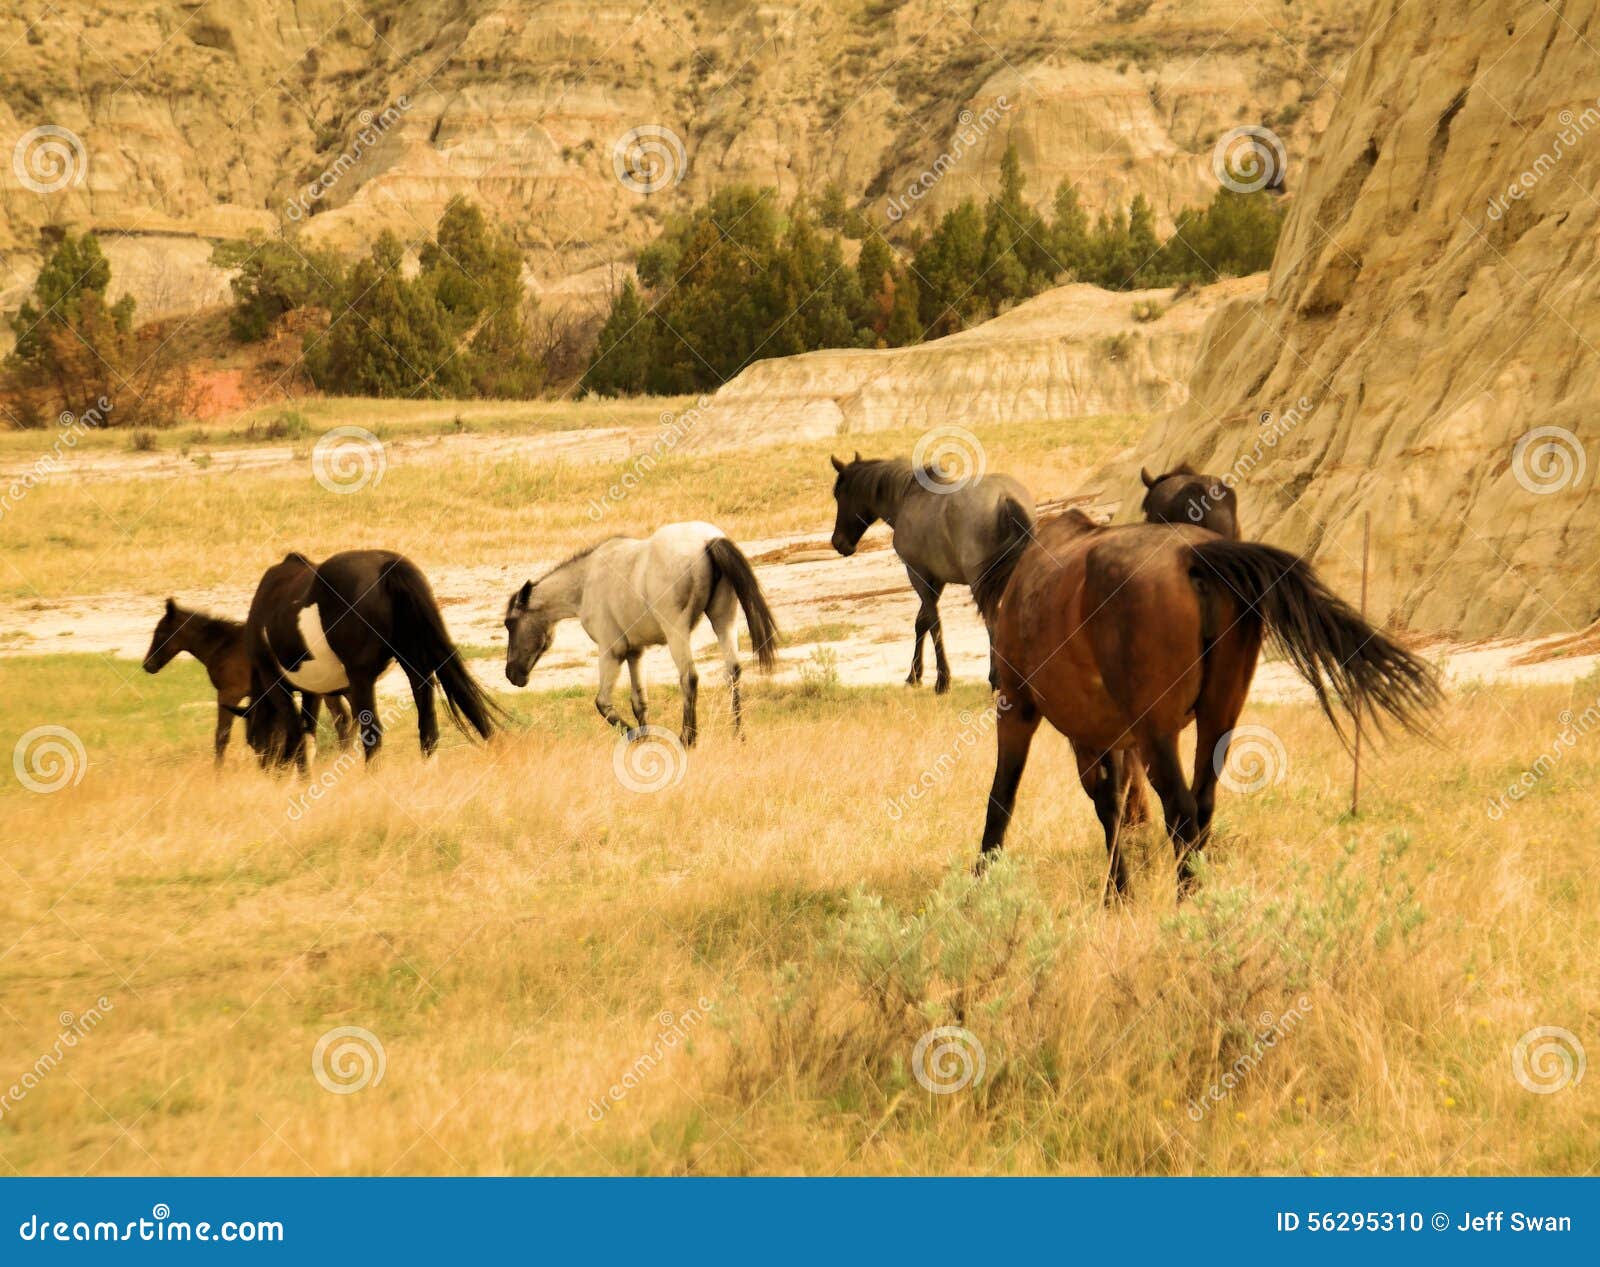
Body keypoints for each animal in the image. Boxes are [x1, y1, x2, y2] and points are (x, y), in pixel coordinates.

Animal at [142, 598, 352, 765]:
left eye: (160, 633)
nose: (148, 665)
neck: (222, 645)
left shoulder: (229, 693)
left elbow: (222, 736)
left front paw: (218, 774)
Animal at [240, 550, 499, 766]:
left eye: (254, 741)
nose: (269, 770)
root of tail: (386, 567)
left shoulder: (275, 683)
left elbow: (298, 735)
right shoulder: (314, 690)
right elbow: (309, 733)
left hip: (361, 678)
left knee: (373, 733)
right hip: (415, 668)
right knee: (432, 723)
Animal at [504, 522, 779, 746]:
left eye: (510, 623)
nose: (511, 673)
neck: (586, 582)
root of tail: (709, 540)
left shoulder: (611, 651)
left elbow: (603, 702)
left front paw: (637, 736)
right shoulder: (635, 652)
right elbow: (639, 702)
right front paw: (646, 737)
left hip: (676, 631)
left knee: (689, 677)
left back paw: (687, 739)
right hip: (724, 619)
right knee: (732, 672)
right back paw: (738, 735)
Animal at [829, 453, 1034, 693]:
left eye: (838, 495)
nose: (838, 543)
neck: (909, 498)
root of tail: (1004, 498)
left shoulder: (917, 575)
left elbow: (933, 624)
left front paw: (942, 680)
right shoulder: (937, 580)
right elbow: (922, 622)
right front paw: (914, 675)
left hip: (981, 586)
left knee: (992, 623)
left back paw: (996, 680)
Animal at [971, 506, 1439, 902]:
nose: (992, 675)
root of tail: (1191, 555)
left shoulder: (1024, 713)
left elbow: (1003, 797)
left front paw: (979, 885)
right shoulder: (1104, 737)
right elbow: (1113, 806)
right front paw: (1118, 893)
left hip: (1156, 733)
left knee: (1179, 810)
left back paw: (1185, 903)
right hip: (1217, 720)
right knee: (1201, 806)